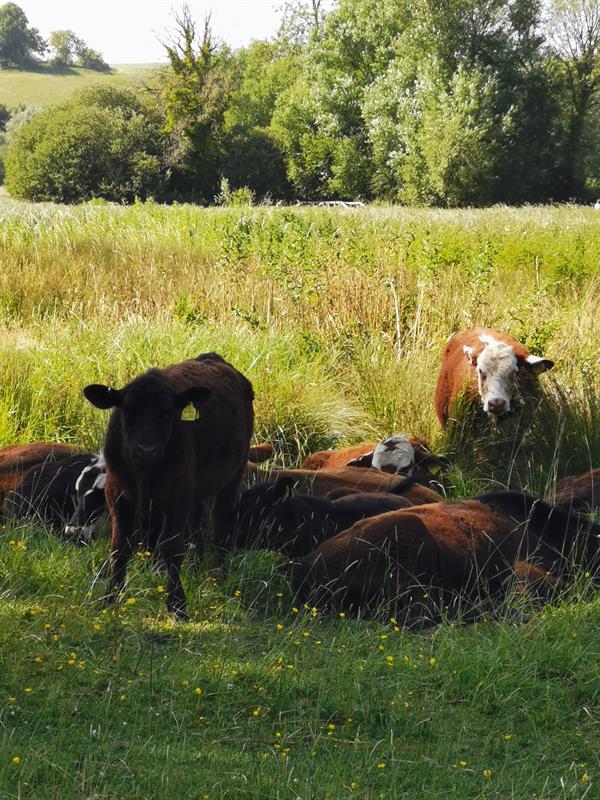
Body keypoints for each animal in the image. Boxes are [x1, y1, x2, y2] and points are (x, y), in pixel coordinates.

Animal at [83, 353, 254, 619]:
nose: (147, 449)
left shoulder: (177, 492)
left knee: (222, 527)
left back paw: (217, 579)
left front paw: (177, 605)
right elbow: (119, 546)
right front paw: (110, 598)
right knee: (195, 527)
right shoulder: (117, 491)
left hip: (233, 475)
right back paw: (194, 570)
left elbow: (171, 546)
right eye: (128, 411)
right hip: (195, 490)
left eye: (166, 413)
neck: (145, 473)